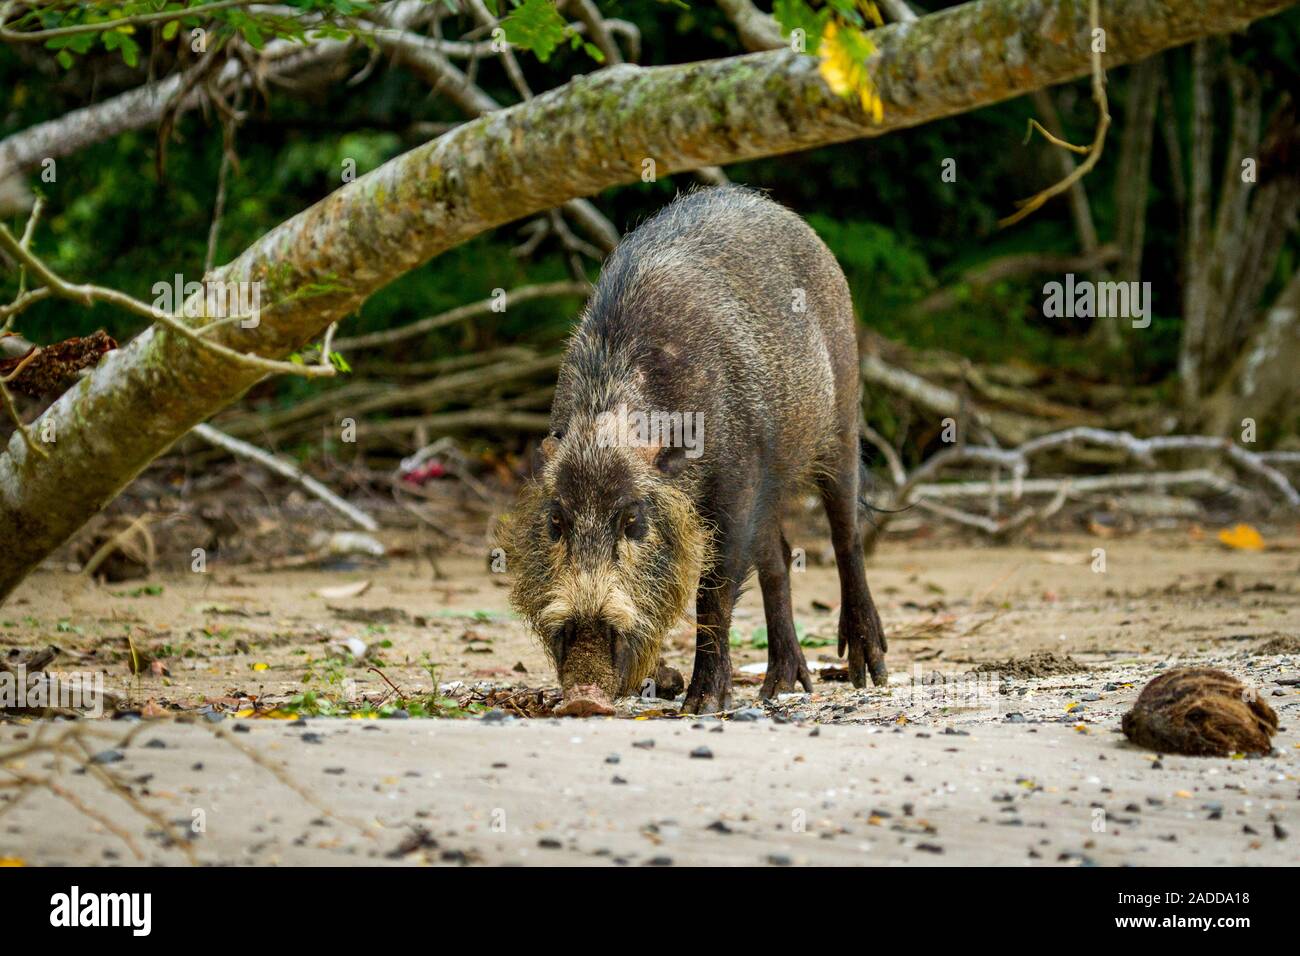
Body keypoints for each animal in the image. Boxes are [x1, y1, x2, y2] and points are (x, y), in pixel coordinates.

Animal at [498, 186, 888, 715]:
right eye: (556, 521)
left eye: (633, 521)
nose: (584, 700)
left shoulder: (734, 483)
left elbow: (713, 593)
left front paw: (700, 705)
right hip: (769, 485)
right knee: (779, 558)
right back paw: (779, 687)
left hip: (842, 419)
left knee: (845, 535)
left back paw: (869, 674)